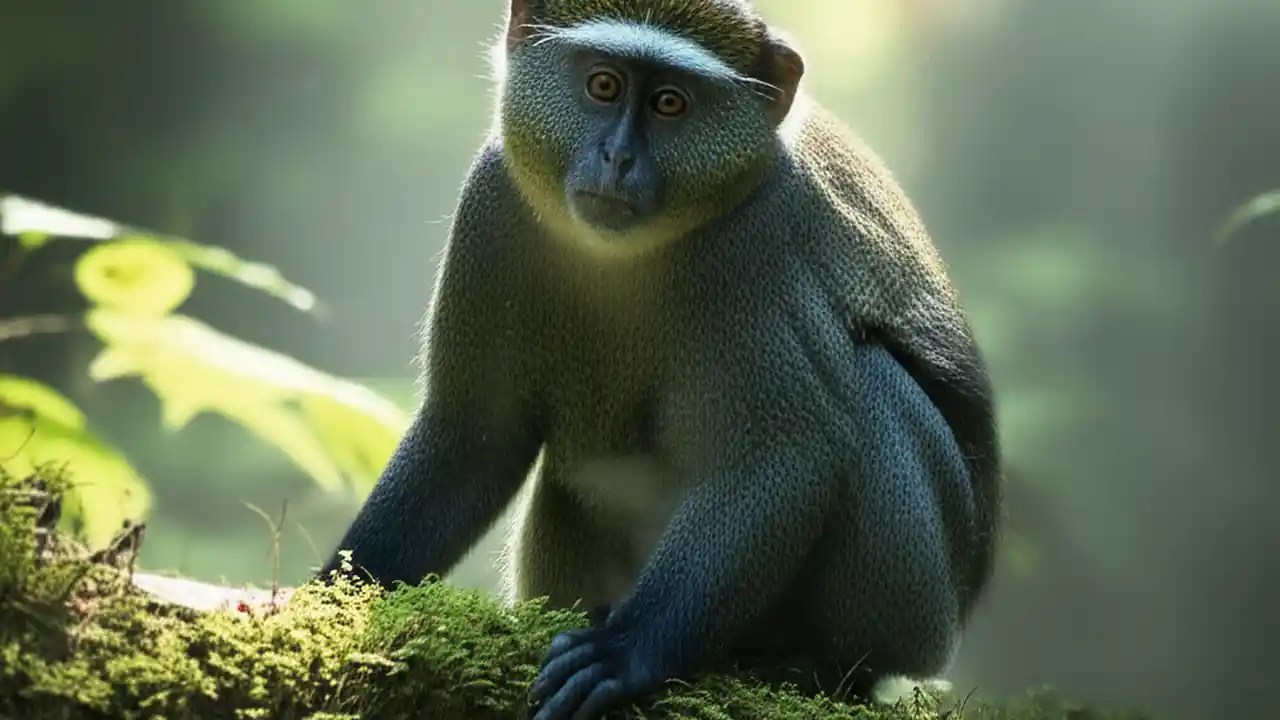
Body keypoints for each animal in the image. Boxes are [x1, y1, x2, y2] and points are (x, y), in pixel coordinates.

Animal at [319, 1, 1000, 718]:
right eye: (604, 86)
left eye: (669, 103)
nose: (617, 156)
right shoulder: (493, 200)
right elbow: (473, 435)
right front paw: (329, 597)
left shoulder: (758, 247)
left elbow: (783, 456)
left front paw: (625, 652)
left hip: (922, 612)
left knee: (869, 386)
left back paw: (817, 665)